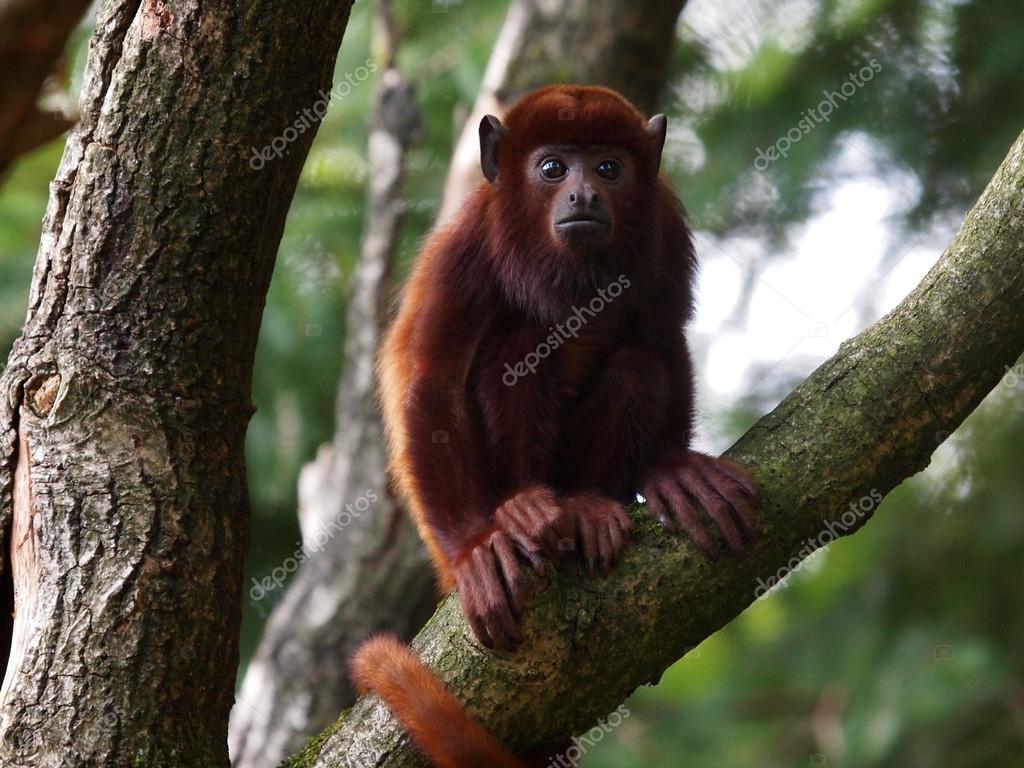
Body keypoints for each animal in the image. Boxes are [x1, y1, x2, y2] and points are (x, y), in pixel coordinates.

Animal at [355, 84, 760, 767]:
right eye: (551, 168)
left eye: (608, 168)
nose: (584, 195)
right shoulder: (467, 246)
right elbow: (432, 382)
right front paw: (475, 548)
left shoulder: (665, 225)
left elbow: (663, 333)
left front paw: (671, 469)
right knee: (515, 348)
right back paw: (523, 511)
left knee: (638, 364)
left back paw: (587, 506)